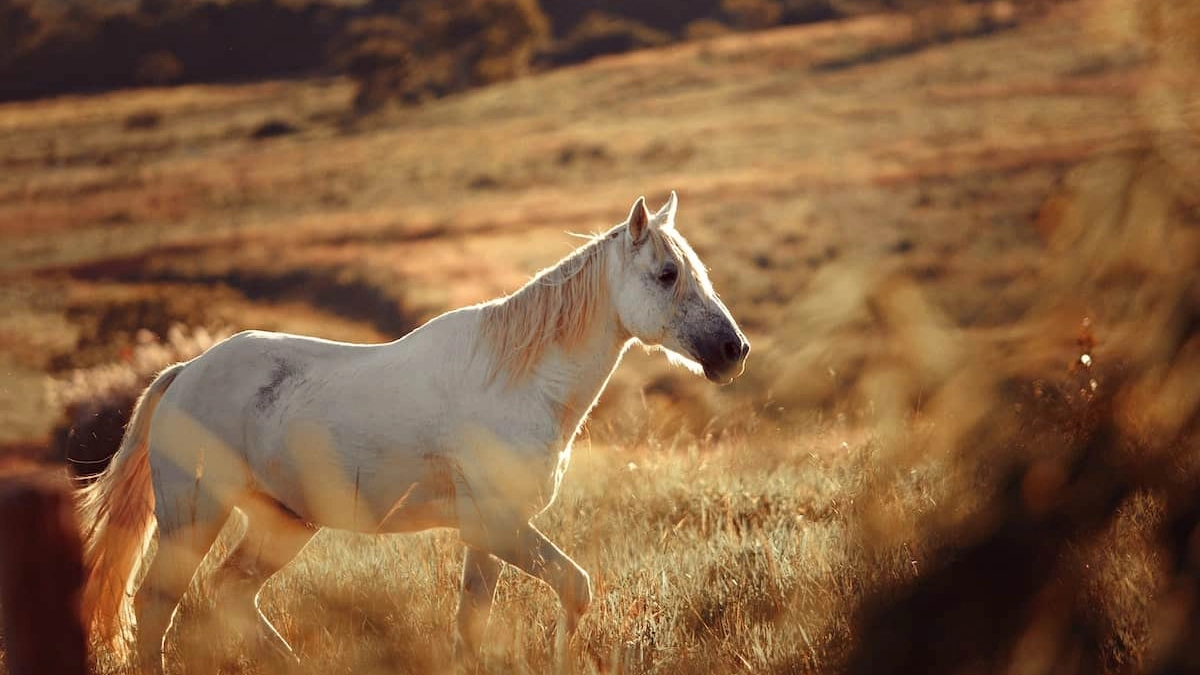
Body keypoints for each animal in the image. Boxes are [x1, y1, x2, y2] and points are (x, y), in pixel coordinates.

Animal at [76, 191, 750, 673]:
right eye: (666, 274)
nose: (733, 351)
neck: (518, 382)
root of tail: (185, 373)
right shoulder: (498, 526)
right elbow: (576, 588)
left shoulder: (487, 537)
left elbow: (471, 628)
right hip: (193, 516)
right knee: (156, 607)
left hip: (282, 524)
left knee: (230, 595)